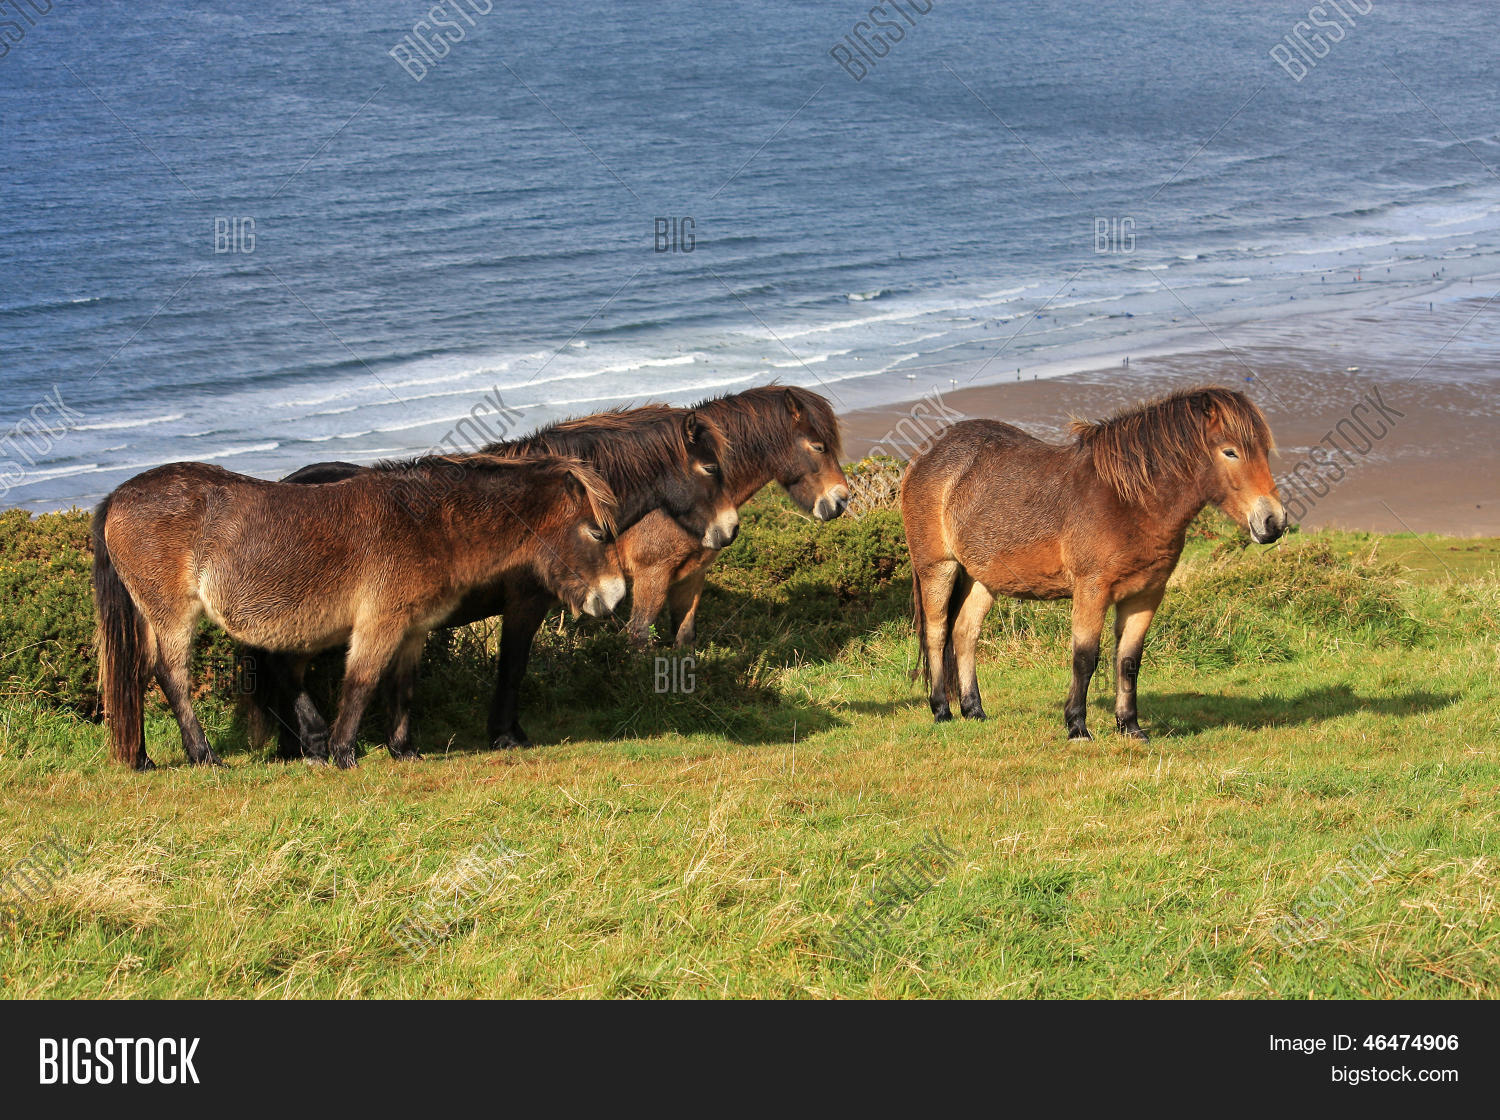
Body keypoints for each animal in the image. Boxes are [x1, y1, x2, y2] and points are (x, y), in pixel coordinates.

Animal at [93, 455, 624, 770]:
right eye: (597, 533)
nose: (616, 596)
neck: (426, 523)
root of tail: (118, 495)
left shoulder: (412, 630)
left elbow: (402, 688)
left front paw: (404, 751)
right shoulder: (379, 623)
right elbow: (363, 682)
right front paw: (345, 753)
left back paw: (144, 759)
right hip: (171, 615)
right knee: (169, 674)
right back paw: (205, 756)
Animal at [249, 405, 738, 758]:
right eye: (711, 469)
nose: (729, 530)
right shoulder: (524, 605)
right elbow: (513, 667)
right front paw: (505, 735)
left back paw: (294, 746)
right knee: (284, 670)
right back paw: (312, 743)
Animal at [617, 385, 848, 648]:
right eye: (818, 446)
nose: (842, 500)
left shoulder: (693, 575)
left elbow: (684, 635)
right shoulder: (651, 576)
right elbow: (640, 635)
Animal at [901, 386, 1286, 742]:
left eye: (1265, 450)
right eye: (1230, 451)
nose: (1273, 522)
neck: (1129, 501)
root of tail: (926, 453)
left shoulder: (1146, 595)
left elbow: (1129, 661)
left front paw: (1130, 727)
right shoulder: (1092, 589)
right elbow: (1085, 658)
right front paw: (1077, 727)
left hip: (982, 577)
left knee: (965, 633)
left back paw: (974, 710)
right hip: (938, 568)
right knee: (936, 634)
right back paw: (941, 710)